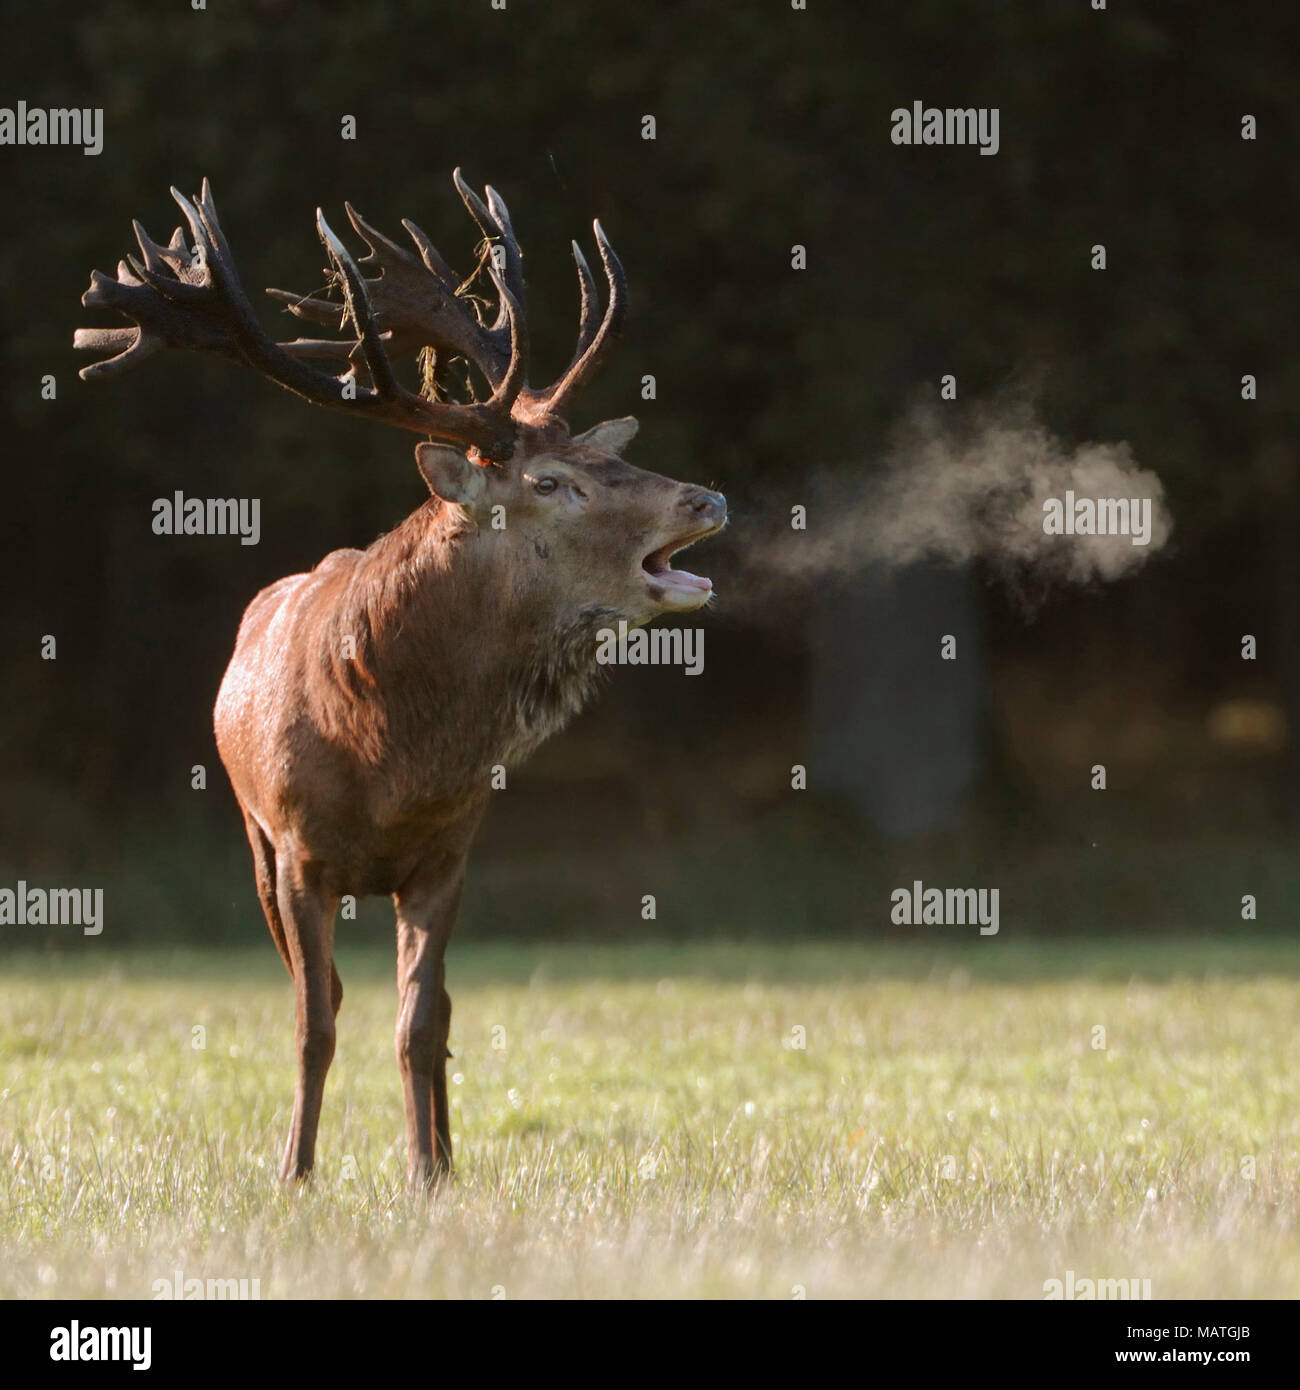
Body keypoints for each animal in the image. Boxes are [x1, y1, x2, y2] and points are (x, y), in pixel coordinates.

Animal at [74, 173, 726, 1187]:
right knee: (322, 991)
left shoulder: (448, 853)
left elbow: (419, 1021)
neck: (390, 759)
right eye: (551, 483)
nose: (707, 498)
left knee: (437, 1008)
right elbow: (314, 1021)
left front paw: (427, 1173)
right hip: (253, 841)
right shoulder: (297, 853)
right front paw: (294, 1173)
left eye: (610, 456)